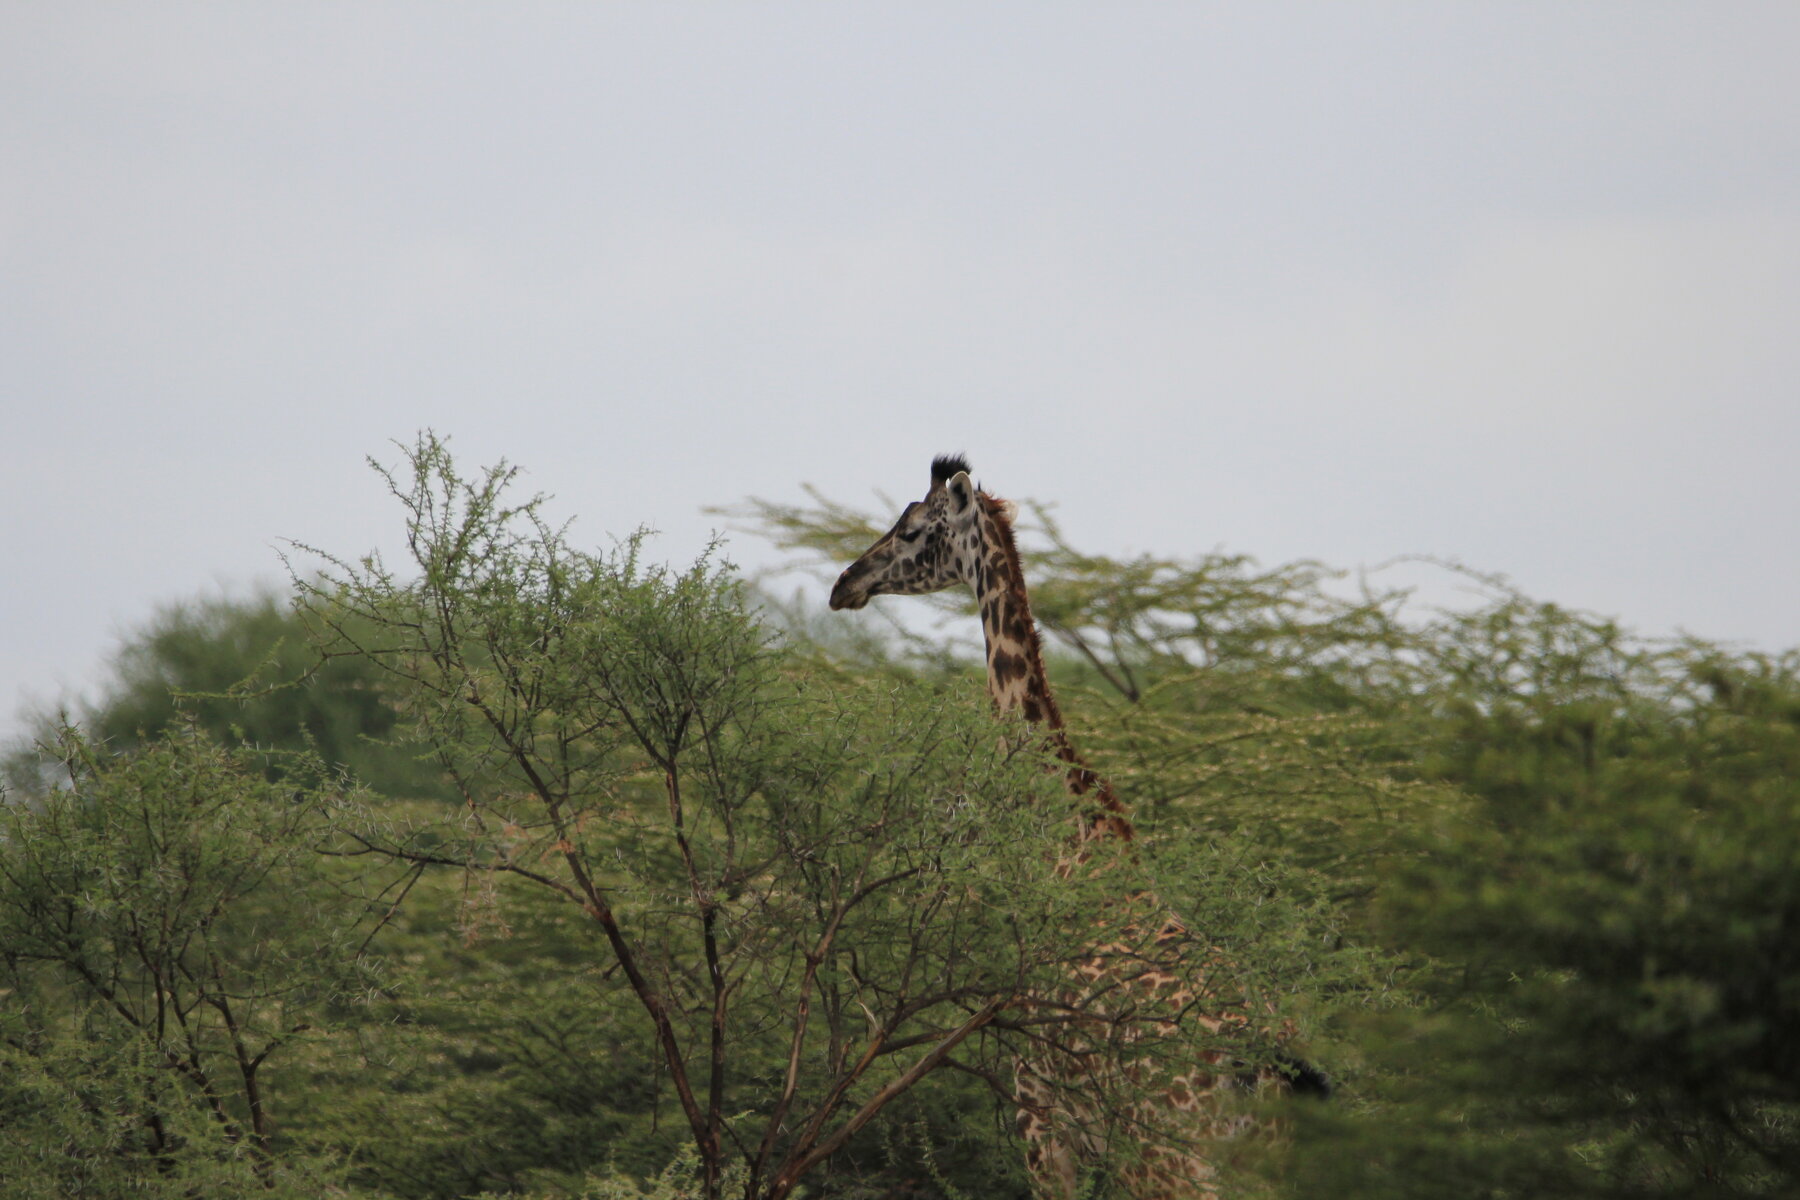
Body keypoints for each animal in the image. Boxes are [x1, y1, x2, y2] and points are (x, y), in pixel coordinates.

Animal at [829, 455, 1322, 1199]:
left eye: (912, 529)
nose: (845, 584)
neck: (1064, 833)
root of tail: (1263, 1064)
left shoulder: (1039, 1110)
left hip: (1167, 1156)